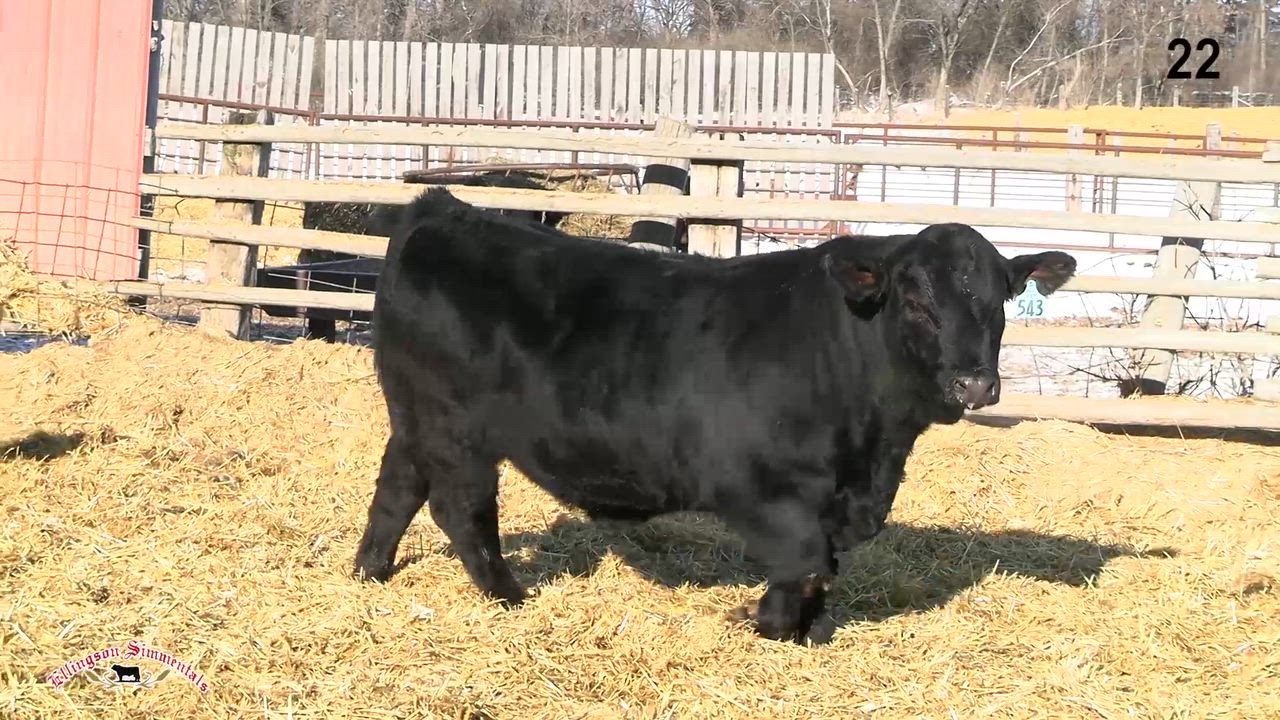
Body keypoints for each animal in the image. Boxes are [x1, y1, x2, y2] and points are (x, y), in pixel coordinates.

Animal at [351, 187, 1078, 646]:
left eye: (1001, 299)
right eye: (917, 301)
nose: (974, 382)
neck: (874, 449)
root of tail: (444, 210)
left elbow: (824, 566)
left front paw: (809, 631)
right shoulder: (758, 485)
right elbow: (807, 560)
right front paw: (764, 622)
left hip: (413, 417)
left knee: (396, 488)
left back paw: (370, 570)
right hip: (455, 428)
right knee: (461, 509)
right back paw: (508, 593)